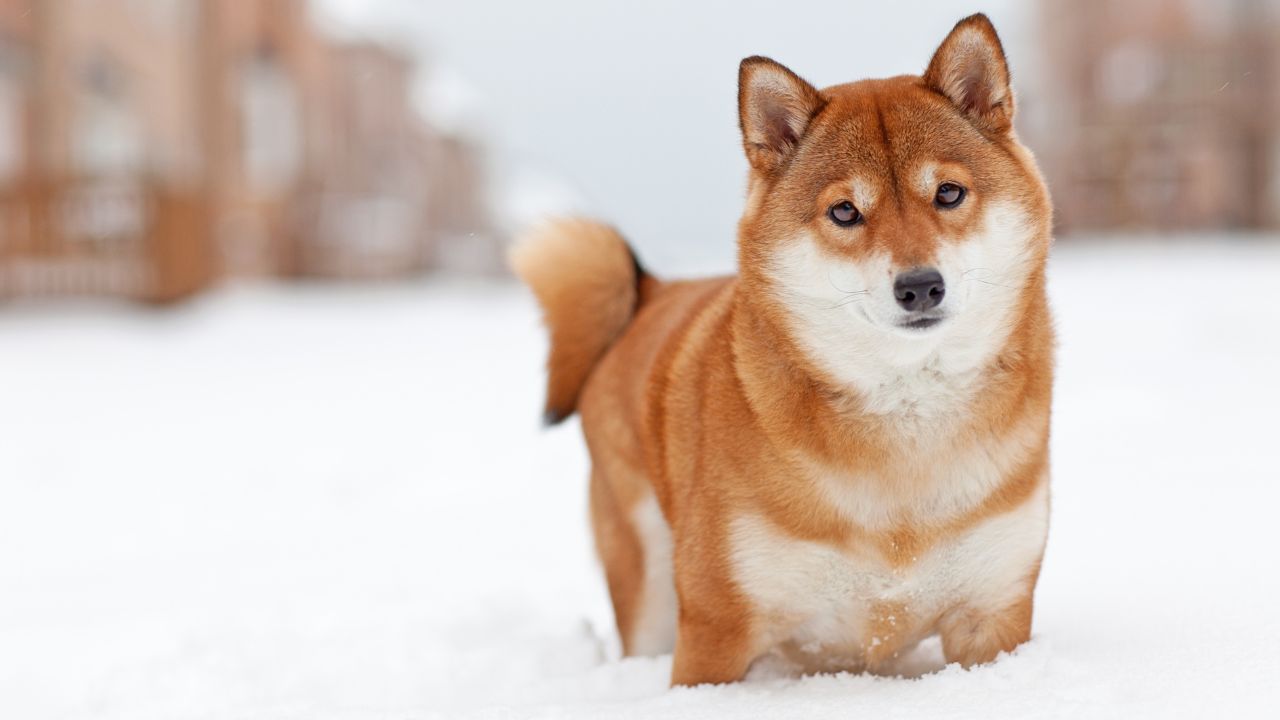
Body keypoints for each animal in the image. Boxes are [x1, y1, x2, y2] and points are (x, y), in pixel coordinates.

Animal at [511, 14, 1054, 687]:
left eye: (949, 193)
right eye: (844, 211)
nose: (921, 286)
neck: (903, 438)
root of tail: (649, 294)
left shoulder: (992, 616)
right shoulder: (717, 630)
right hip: (647, 582)